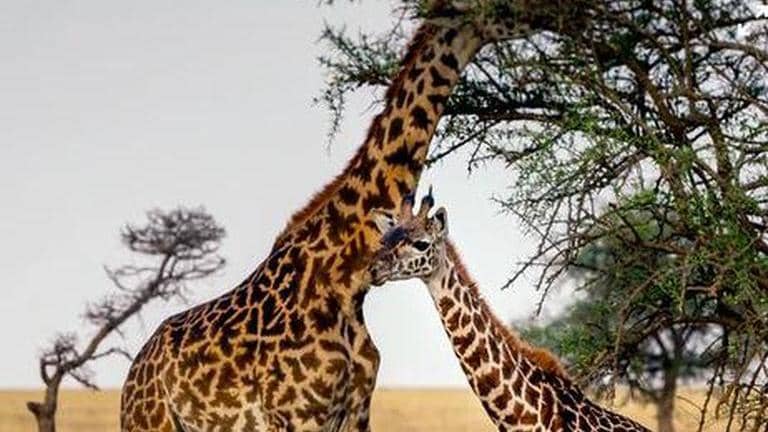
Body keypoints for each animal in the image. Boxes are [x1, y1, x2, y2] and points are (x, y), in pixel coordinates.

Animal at [120, 3, 541, 432]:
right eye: (504, 11)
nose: (551, 21)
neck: (343, 275)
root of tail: (133, 375)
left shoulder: (357, 408)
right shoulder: (298, 415)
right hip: (152, 421)